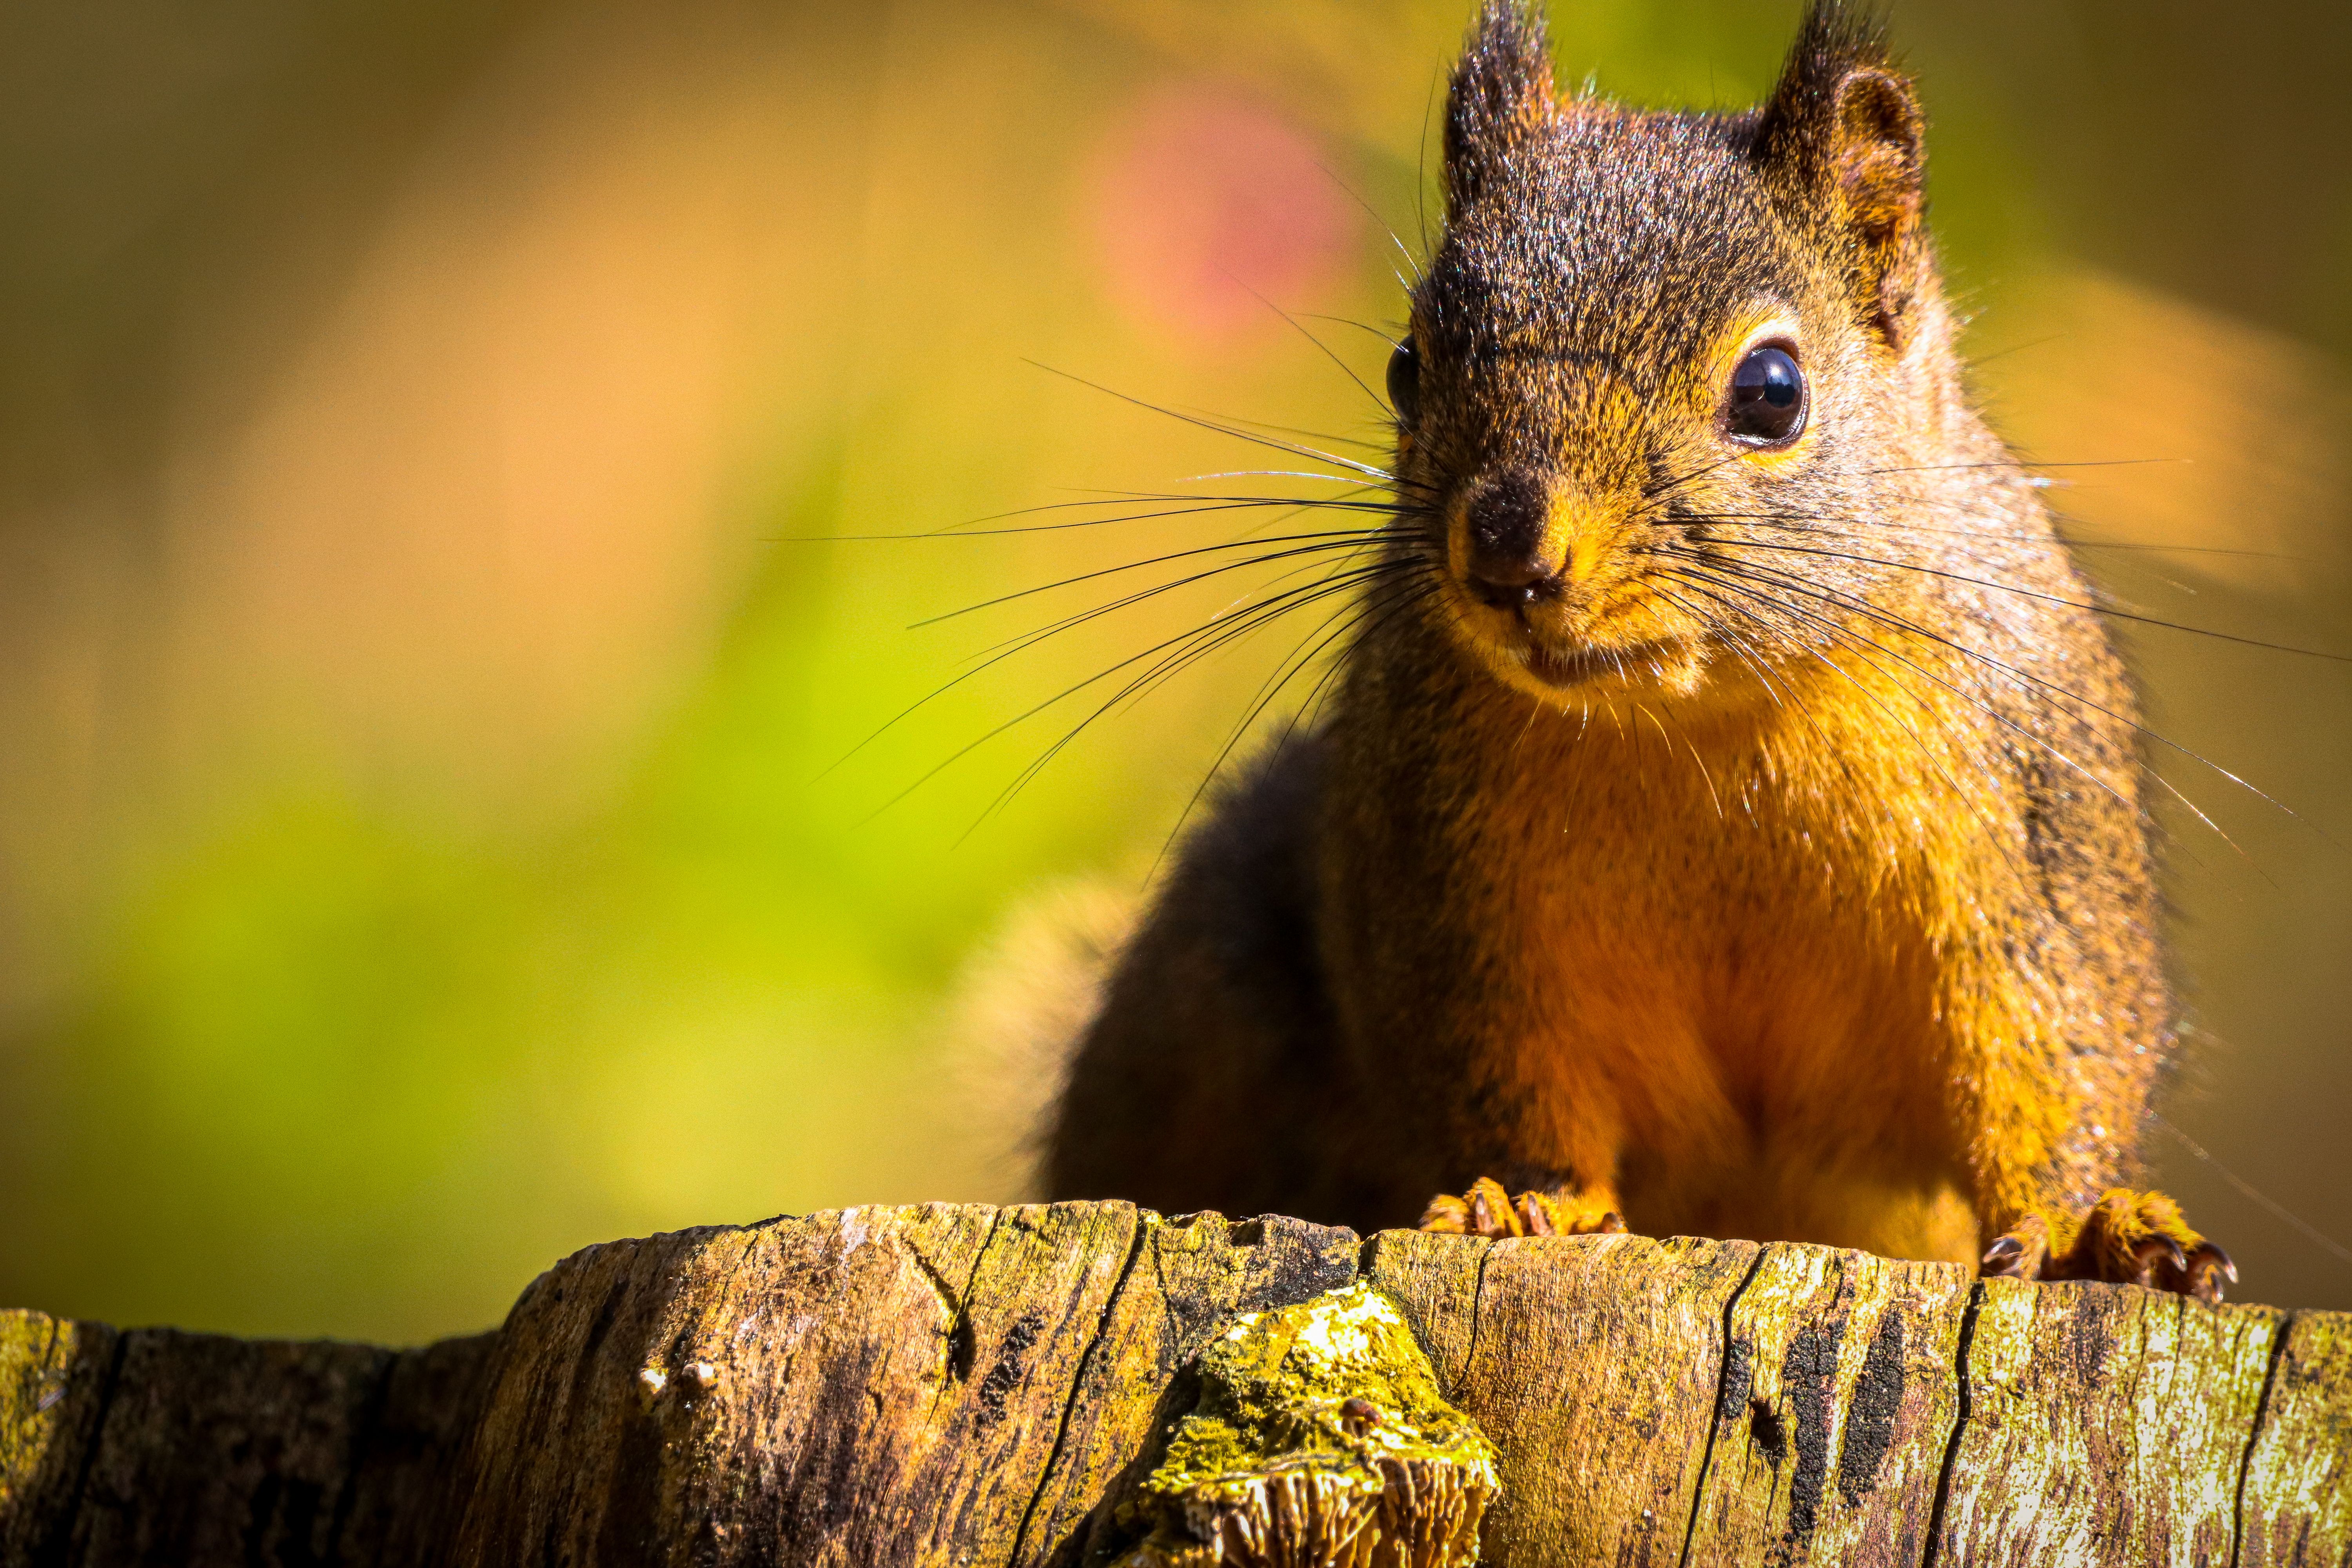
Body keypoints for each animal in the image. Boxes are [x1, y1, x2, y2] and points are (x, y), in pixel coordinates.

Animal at [1042, 0, 2236, 1301]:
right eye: (1406, 368)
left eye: (1772, 390)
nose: (1506, 553)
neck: (1705, 722)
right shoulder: (1460, 916)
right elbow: (1509, 1082)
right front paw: (1527, 1205)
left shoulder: (2035, 847)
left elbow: (2053, 1061)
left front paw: (2085, 1226)